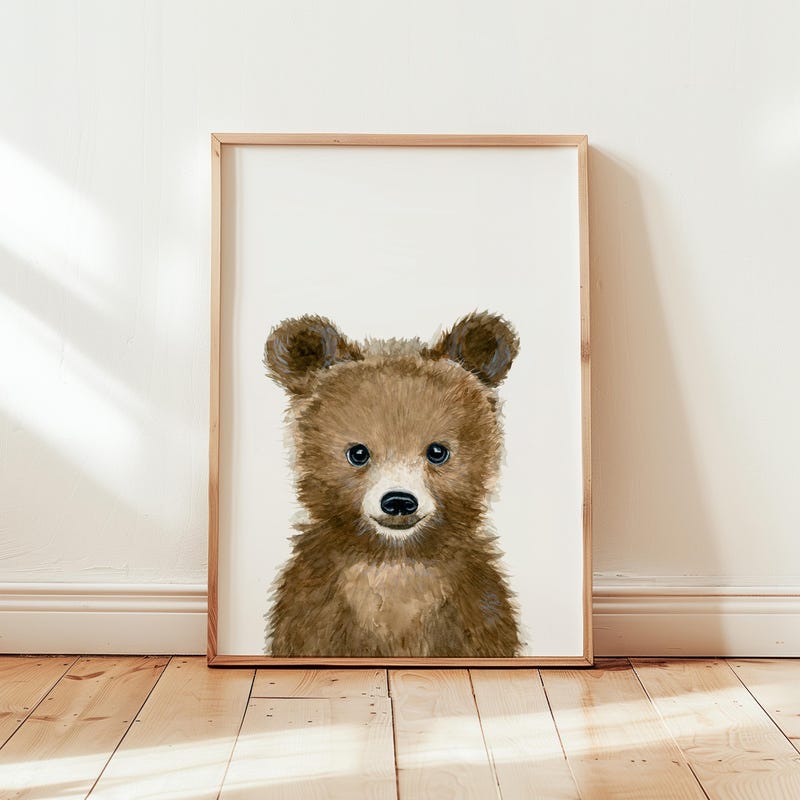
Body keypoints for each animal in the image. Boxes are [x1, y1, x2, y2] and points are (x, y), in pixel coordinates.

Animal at [263, 311, 521, 658]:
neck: (395, 562)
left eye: (437, 451)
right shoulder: (312, 615)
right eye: (358, 452)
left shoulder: (476, 615)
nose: (399, 501)